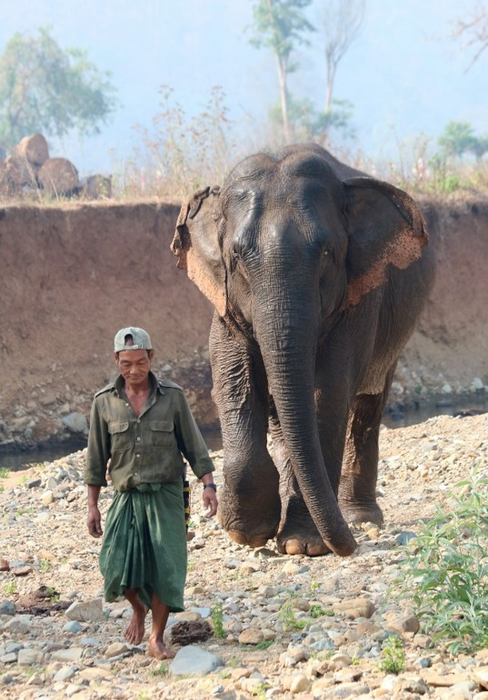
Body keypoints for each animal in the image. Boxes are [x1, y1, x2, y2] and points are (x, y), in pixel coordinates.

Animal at [171, 143, 435, 557]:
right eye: (236, 258)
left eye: (327, 253)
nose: (350, 547)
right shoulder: (223, 299)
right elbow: (233, 376)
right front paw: (247, 533)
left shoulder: (360, 296)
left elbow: (327, 393)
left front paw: (302, 545)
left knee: (367, 405)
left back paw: (359, 517)